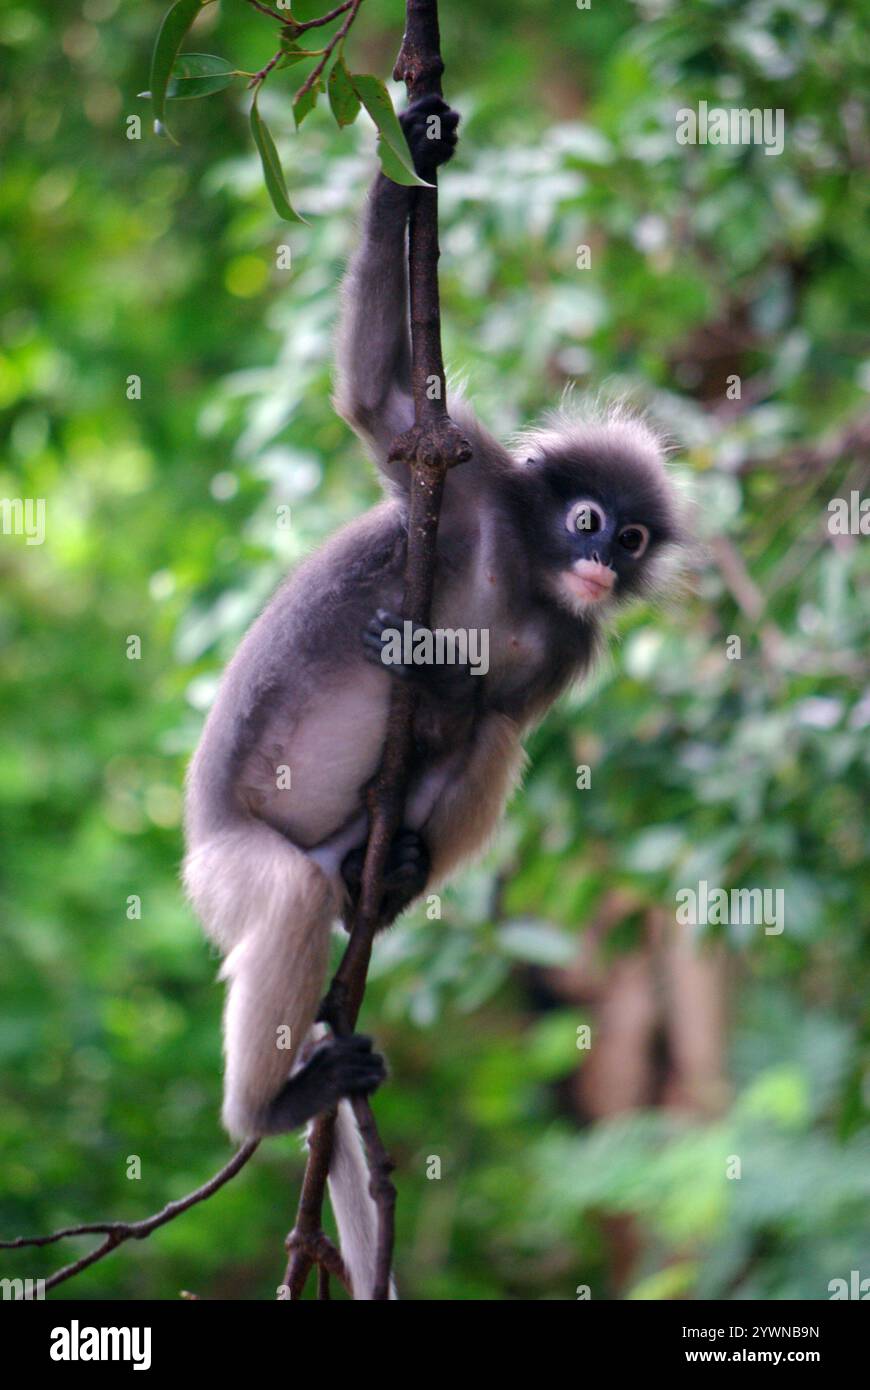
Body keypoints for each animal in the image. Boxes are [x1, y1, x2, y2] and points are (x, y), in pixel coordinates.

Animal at [182, 95, 685, 1297]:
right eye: (587, 517)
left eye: (633, 539)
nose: (601, 559)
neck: (527, 568)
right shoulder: (471, 482)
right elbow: (383, 403)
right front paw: (417, 142)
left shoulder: (569, 643)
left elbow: (487, 714)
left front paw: (435, 679)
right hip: (227, 867)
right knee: (281, 897)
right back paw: (271, 1107)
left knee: (490, 740)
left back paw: (394, 876)